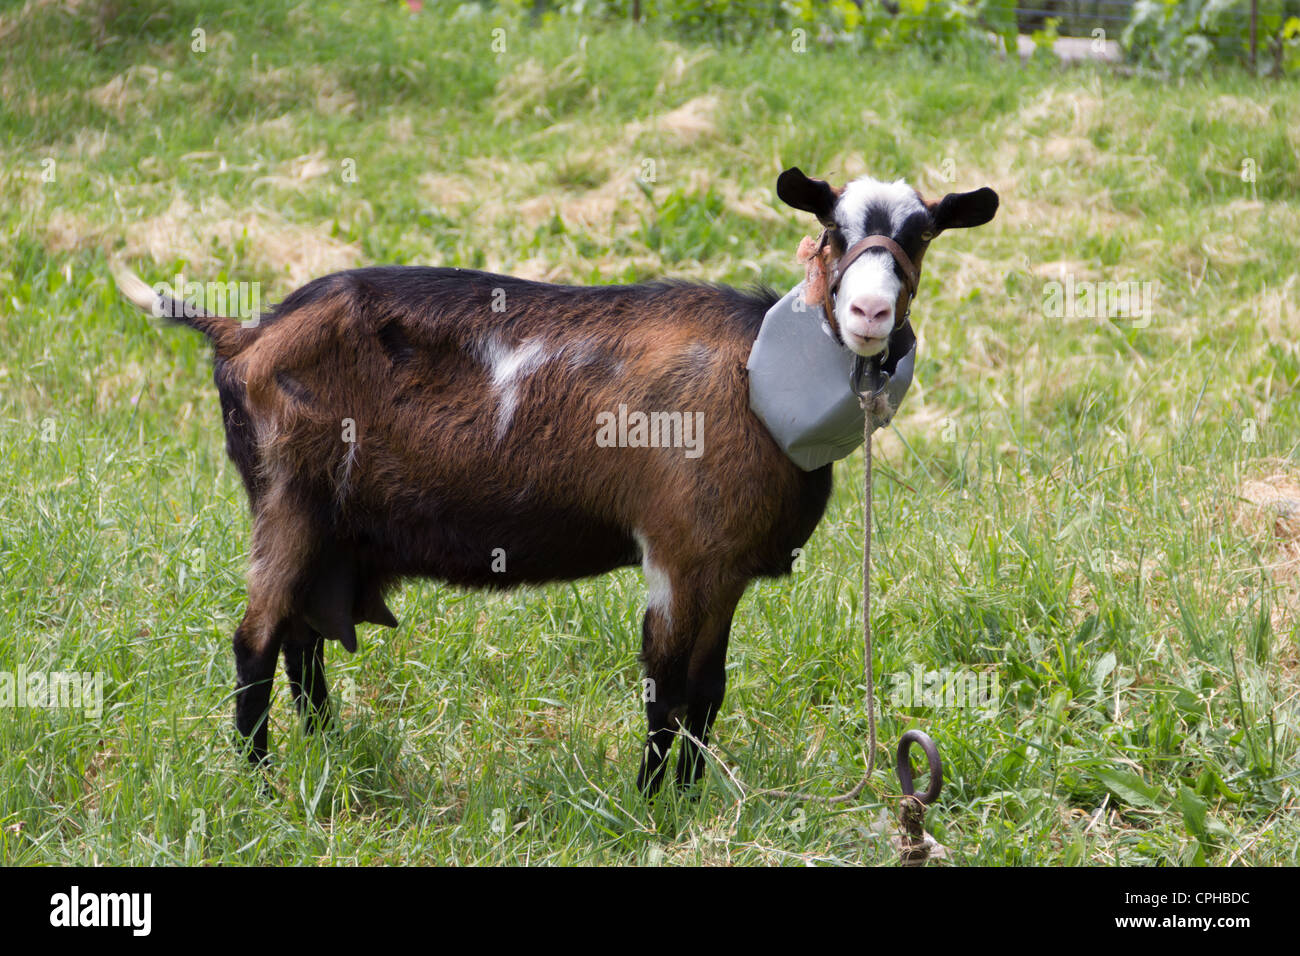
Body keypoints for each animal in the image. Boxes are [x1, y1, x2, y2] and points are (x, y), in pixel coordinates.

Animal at [118, 167, 997, 794]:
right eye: (831, 230)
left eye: (920, 236)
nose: (870, 315)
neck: (754, 371)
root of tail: (243, 331)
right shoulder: (678, 552)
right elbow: (667, 685)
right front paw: (649, 803)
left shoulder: (724, 565)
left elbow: (709, 687)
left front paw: (690, 794)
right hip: (288, 501)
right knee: (257, 639)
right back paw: (262, 781)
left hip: (328, 527)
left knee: (302, 642)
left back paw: (333, 752)